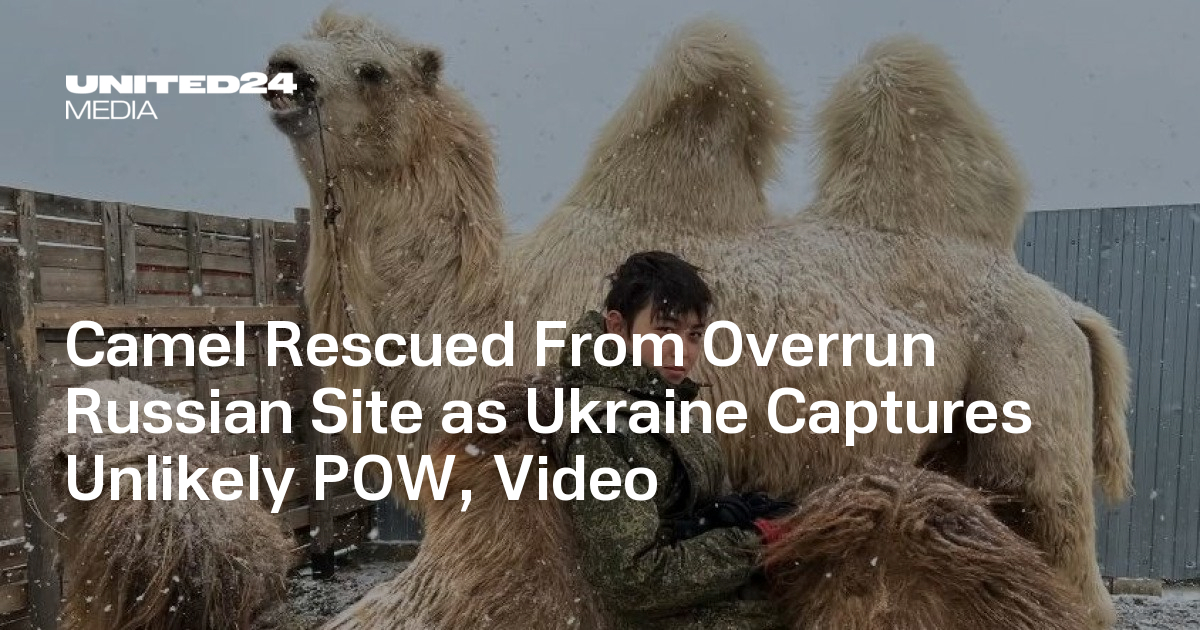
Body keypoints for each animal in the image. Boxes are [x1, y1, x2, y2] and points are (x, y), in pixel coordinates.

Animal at [264, 11, 1131, 627]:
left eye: (373, 70)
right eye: (312, 38)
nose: (283, 73)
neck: (478, 307)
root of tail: (1067, 306)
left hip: (1033, 413)